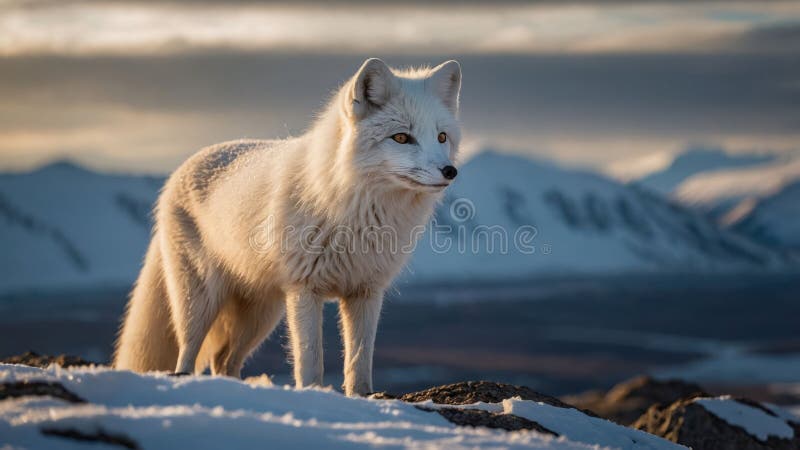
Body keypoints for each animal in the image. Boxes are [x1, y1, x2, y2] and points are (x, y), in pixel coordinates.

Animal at [113, 58, 462, 396]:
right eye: (401, 137)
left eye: (442, 137)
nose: (450, 171)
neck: (351, 210)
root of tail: (180, 169)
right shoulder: (305, 289)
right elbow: (310, 361)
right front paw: (314, 395)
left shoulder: (365, 291)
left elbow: (359, 362)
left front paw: (362, 398)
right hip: (200, 300)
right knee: (187, 352)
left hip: (261, 314)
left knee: (223, 359)